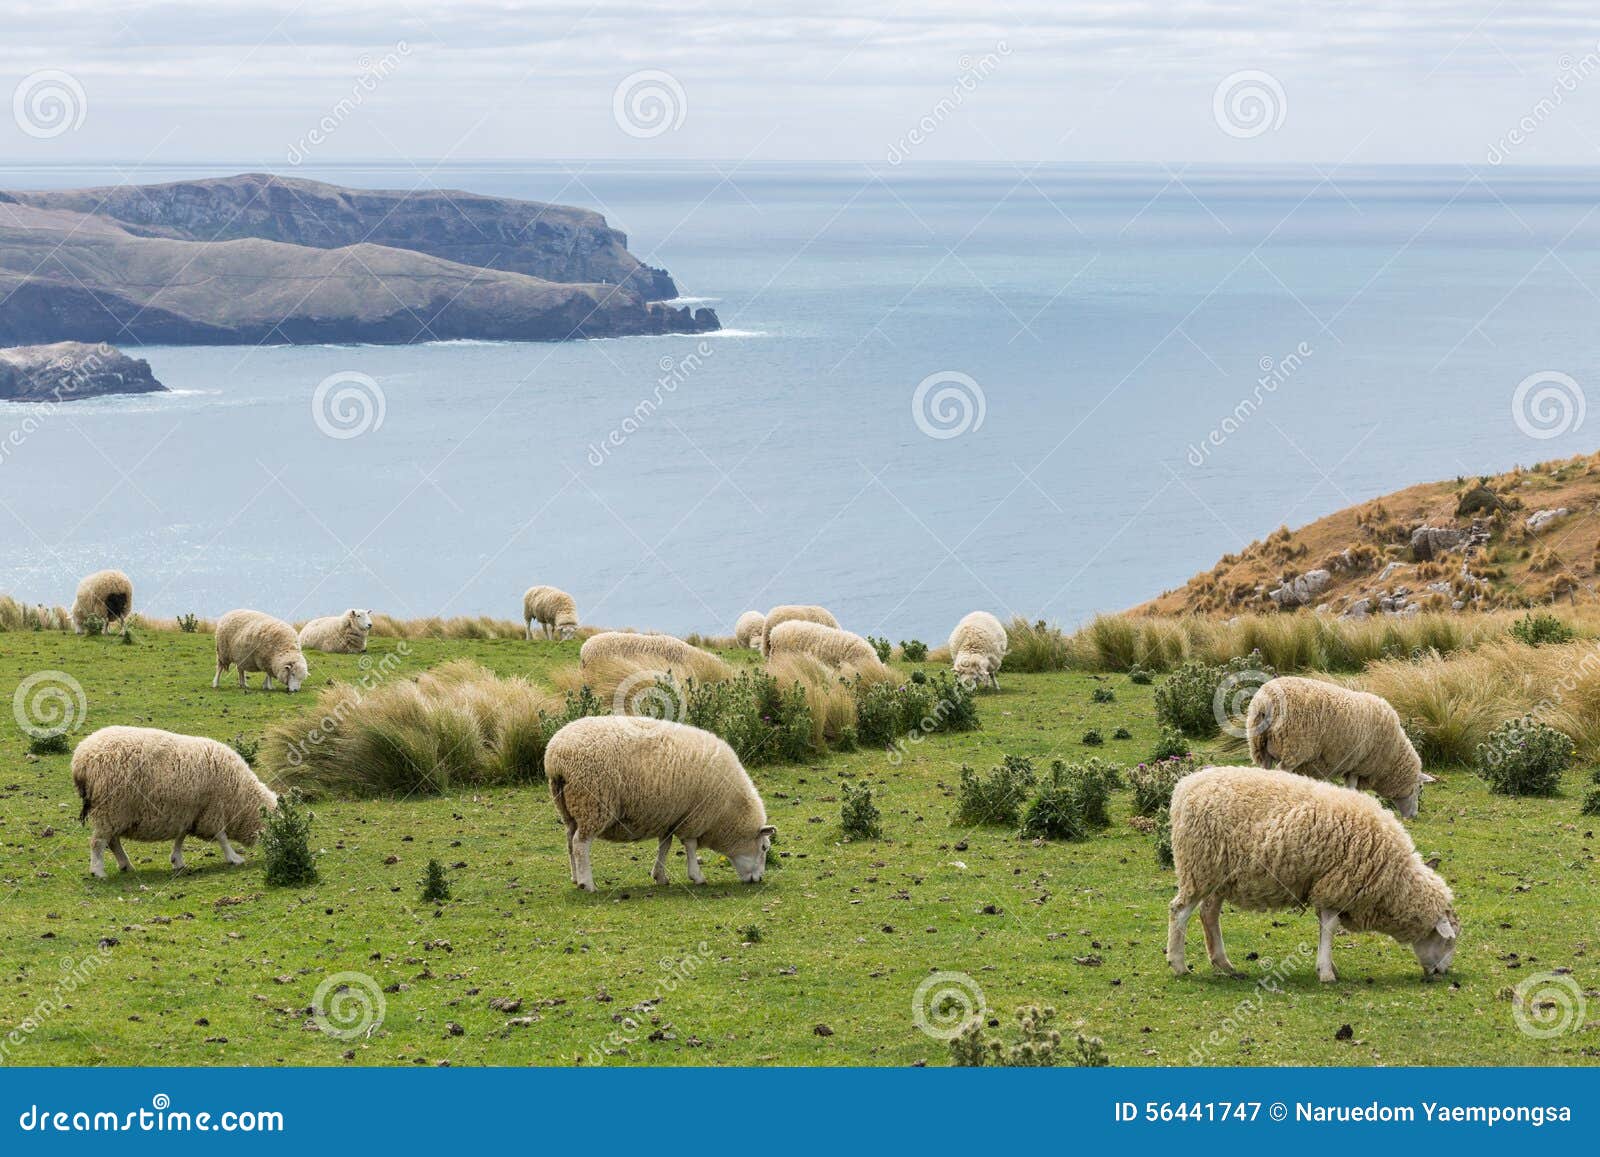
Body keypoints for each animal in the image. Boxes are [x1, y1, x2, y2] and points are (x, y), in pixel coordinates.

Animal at [70, 725, 278, 877]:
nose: (279, 846)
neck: (241, 795)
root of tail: (81, 759)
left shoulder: (189, 812)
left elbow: (181, 837)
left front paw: (177, 860)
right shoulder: (212, 810)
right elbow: (221, 837)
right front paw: (234, 858)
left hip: (115, 812)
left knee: (113, 841)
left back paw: (125, 865)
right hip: (111, 807)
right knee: (98, 842)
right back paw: (98, 871)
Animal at [546, 715, 775, 891]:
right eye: (764, 847)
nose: (759, 879)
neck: (729, 811)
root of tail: (555, 757)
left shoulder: (671, 817)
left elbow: (665, 846)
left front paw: (660, 876)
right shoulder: (695, 816)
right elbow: (690, 846)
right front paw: (697, 876)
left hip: (568, 808)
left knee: (570, 841)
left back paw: (576, 878)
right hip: (593, 803)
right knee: (580, 844)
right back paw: (588, 884)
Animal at [1166, 765, 1459, 983]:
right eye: (1448, 941)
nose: (1442, 973)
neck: (1392, 878)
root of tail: (1184, 787)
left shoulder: (1328, 886)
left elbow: (1323, 928)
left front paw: (1327, 966)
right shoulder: (1337, 885)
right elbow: (1329, 928)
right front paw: (1327, 973)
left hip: (1218, 875)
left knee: (1208, 914)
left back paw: (1224, 964)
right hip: (1198, 867)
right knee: (1179, 911)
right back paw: (1179, 964)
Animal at [1246, 675, 1431, 817]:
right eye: (1419, 787)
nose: (1414, 816)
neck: (1393, 757)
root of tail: (1265, 701)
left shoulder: (1353, 765)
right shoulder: (1359, 766)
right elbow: (1352, 788)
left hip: (1261, 745)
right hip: (1293, 747)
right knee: (1282, 771)